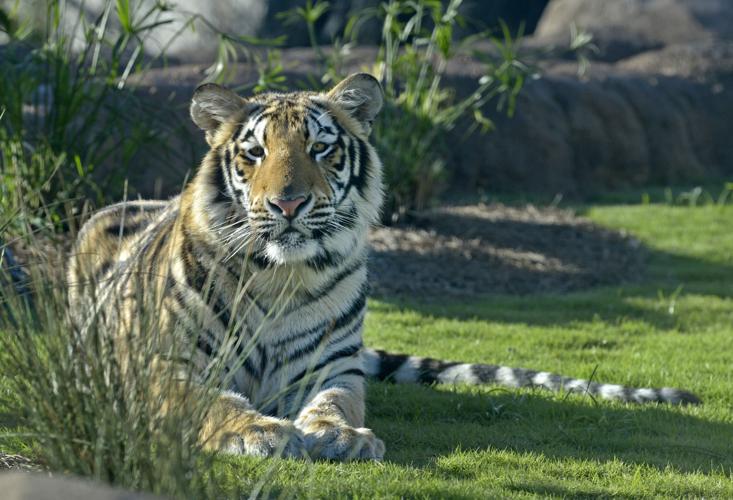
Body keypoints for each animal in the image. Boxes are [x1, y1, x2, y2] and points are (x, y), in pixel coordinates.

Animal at [67, 73, 700, 462]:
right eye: (255, 153)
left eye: (320, 148)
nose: (288, 204)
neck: (279, 274)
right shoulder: (166, 364)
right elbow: (212, 401)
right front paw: (257, 432)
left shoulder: (333, 367)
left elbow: (336, 402)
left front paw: (342, 436)